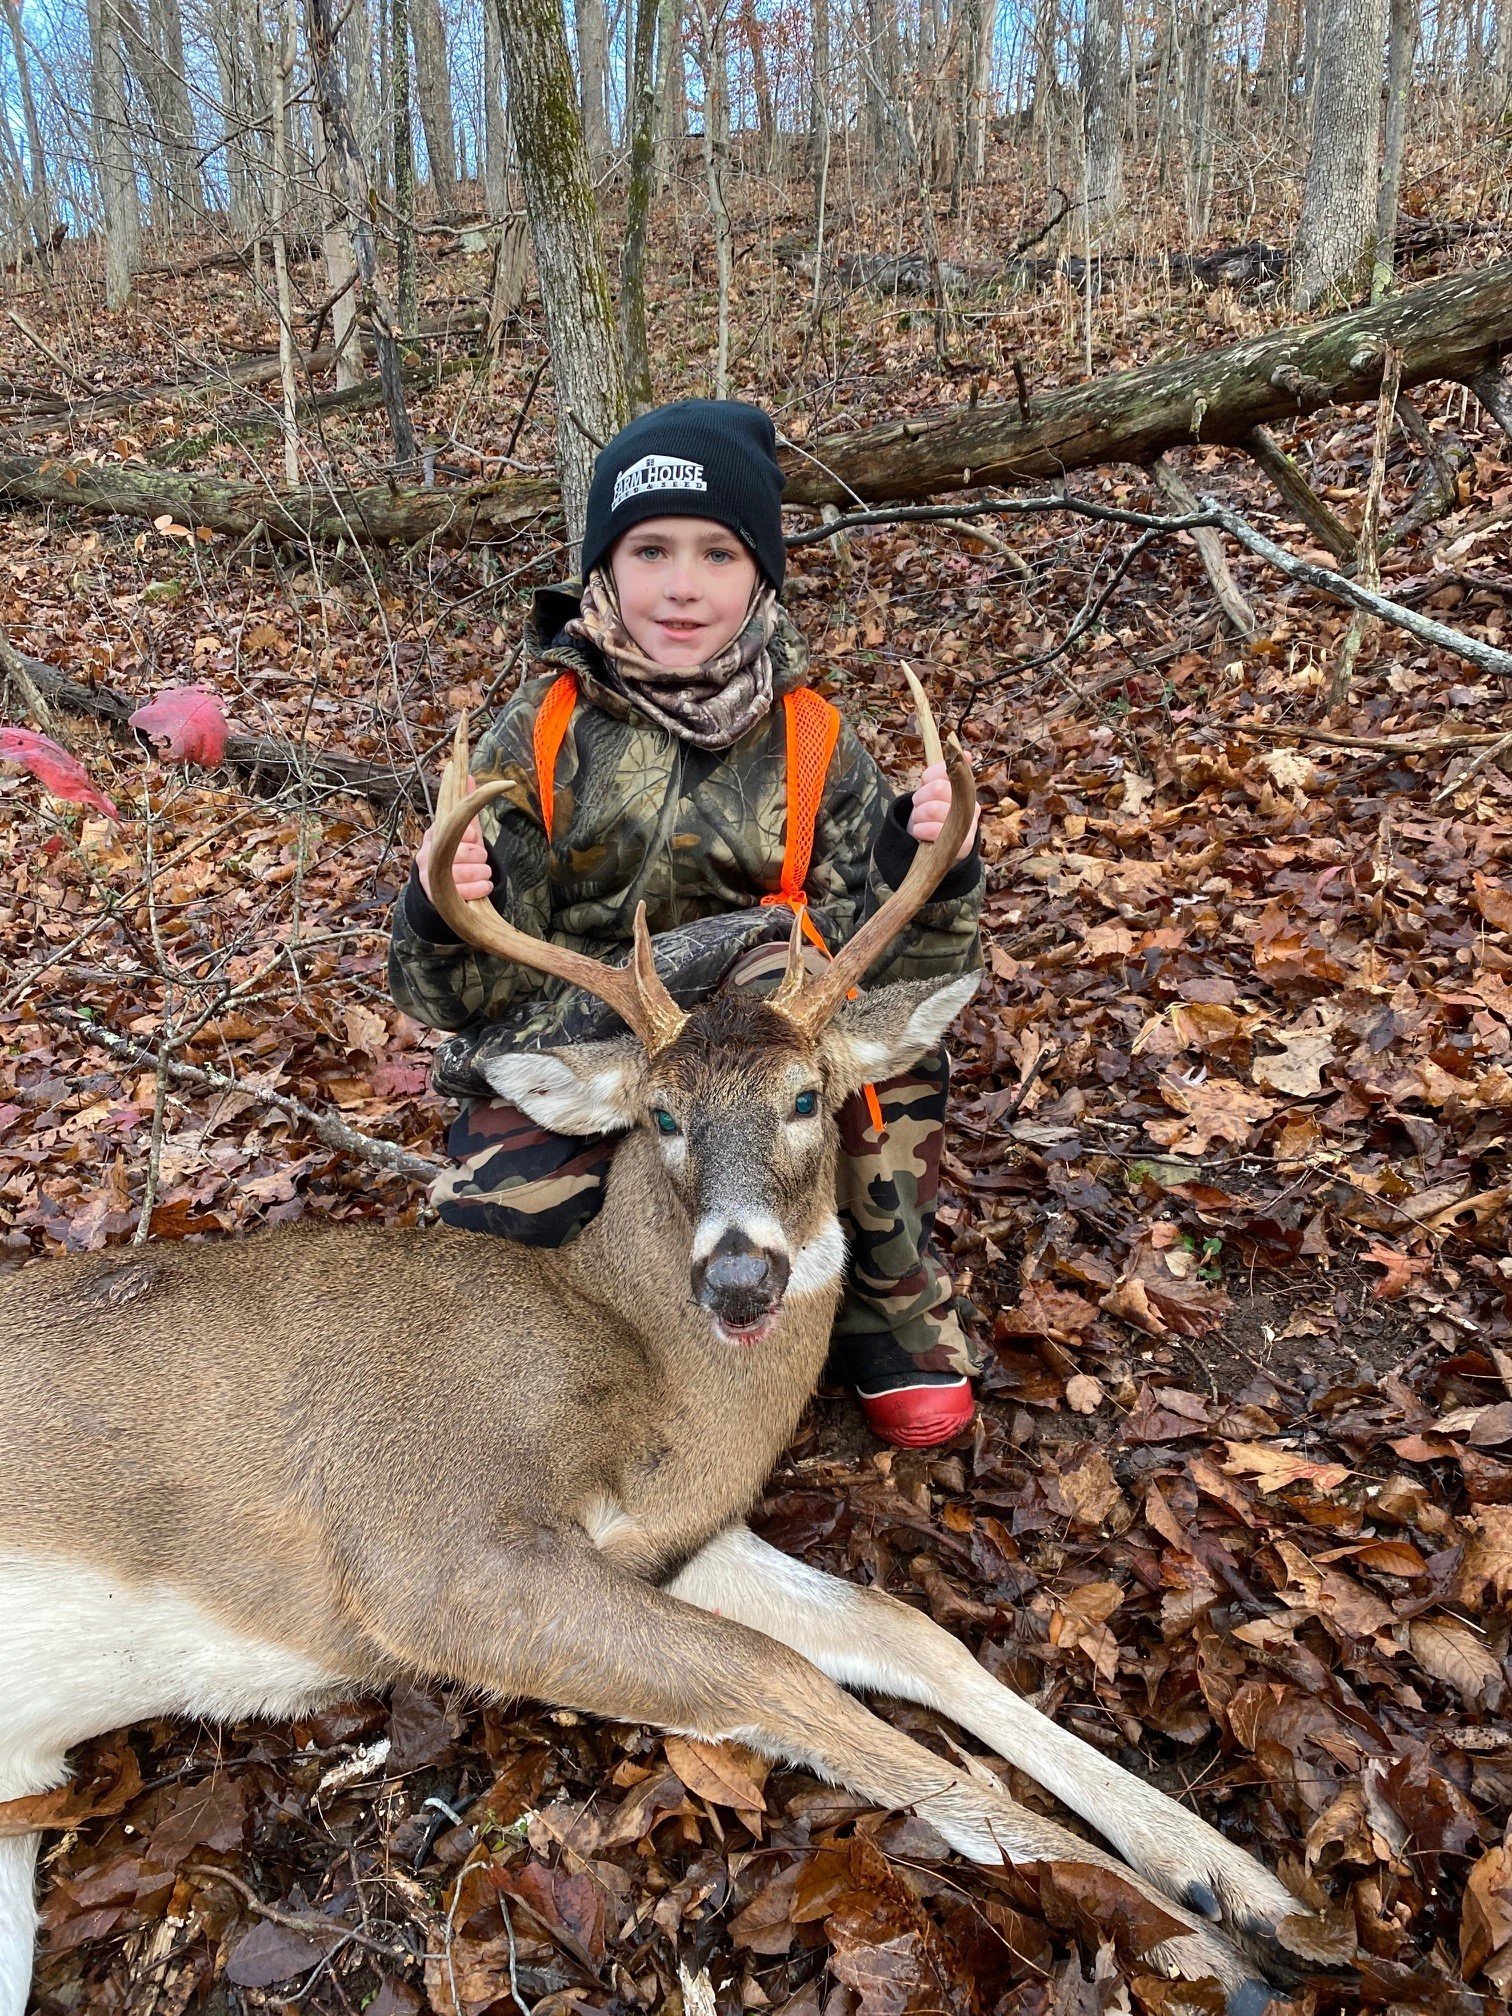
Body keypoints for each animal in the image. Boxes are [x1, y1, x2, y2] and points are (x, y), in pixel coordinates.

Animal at [0, 699, 1326, 2016]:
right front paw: (1194, 1946)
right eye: (663, 1115)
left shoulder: (675, 1536)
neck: (638, 1378)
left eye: (809, 1098)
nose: (740, 1278)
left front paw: (1238, 1882)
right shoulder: (426, 1547)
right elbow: (787, 1683)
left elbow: (908, 1629)